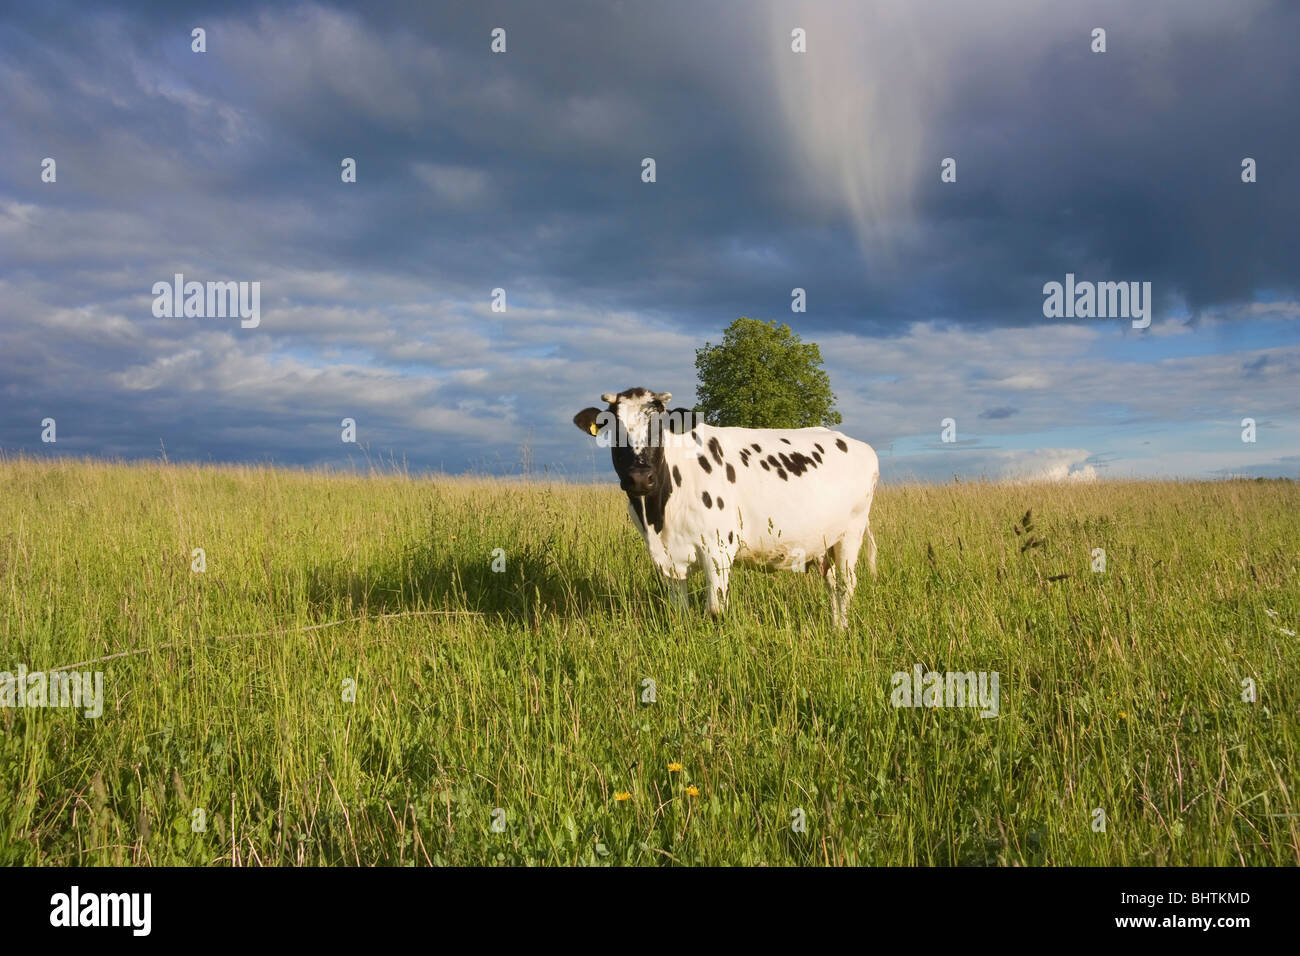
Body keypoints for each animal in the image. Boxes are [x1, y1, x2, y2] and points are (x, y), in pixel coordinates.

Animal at [574, 386, 879, 629]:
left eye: (661, 427)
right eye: (612, 428)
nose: (639, 477)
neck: (658, 517)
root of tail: (857, 444)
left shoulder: (718, 549)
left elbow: (716, 610)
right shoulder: (667, 558)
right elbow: (678, 612)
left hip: (851, 533)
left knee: (846, 583)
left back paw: (842, 629)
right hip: (823, 541)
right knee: (831, 583)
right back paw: (835, 626)